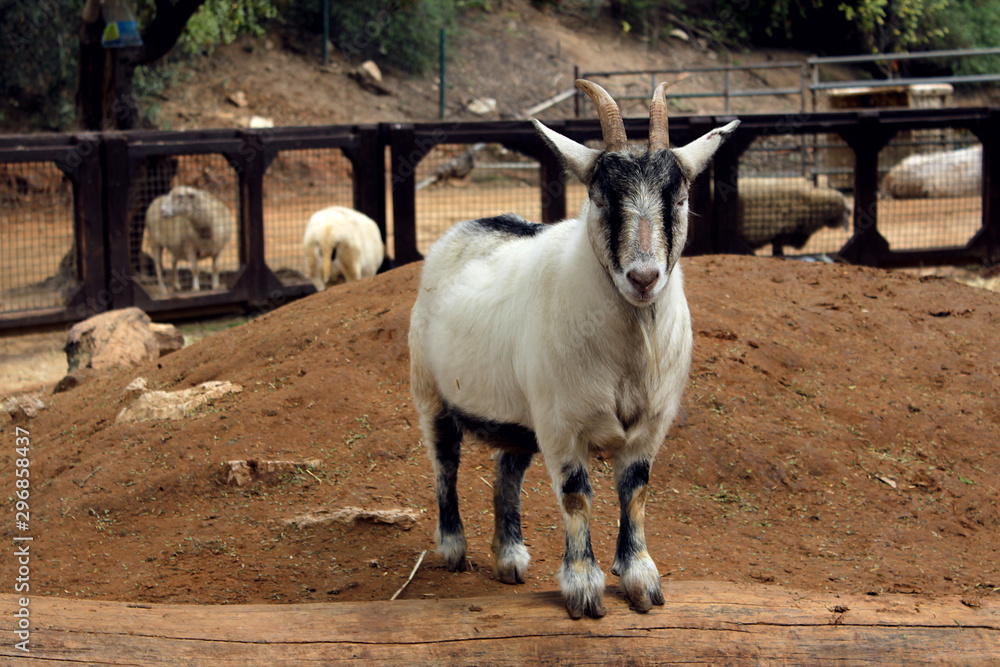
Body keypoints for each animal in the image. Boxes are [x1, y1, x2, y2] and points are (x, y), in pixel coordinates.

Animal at [409, 80, 739, 618]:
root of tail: (472, 224)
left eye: (681, 197)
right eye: (600, 197)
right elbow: (576, 497)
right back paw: (453, 548)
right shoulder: (562, 425)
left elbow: (636, 492)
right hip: (431, 392)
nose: (643, 277)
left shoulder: (650, 424)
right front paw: (583, 587)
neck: (628, 353)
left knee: (507, 468)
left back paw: (509, 557)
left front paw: (640, 578)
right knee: (444, 462)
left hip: (520, 413)